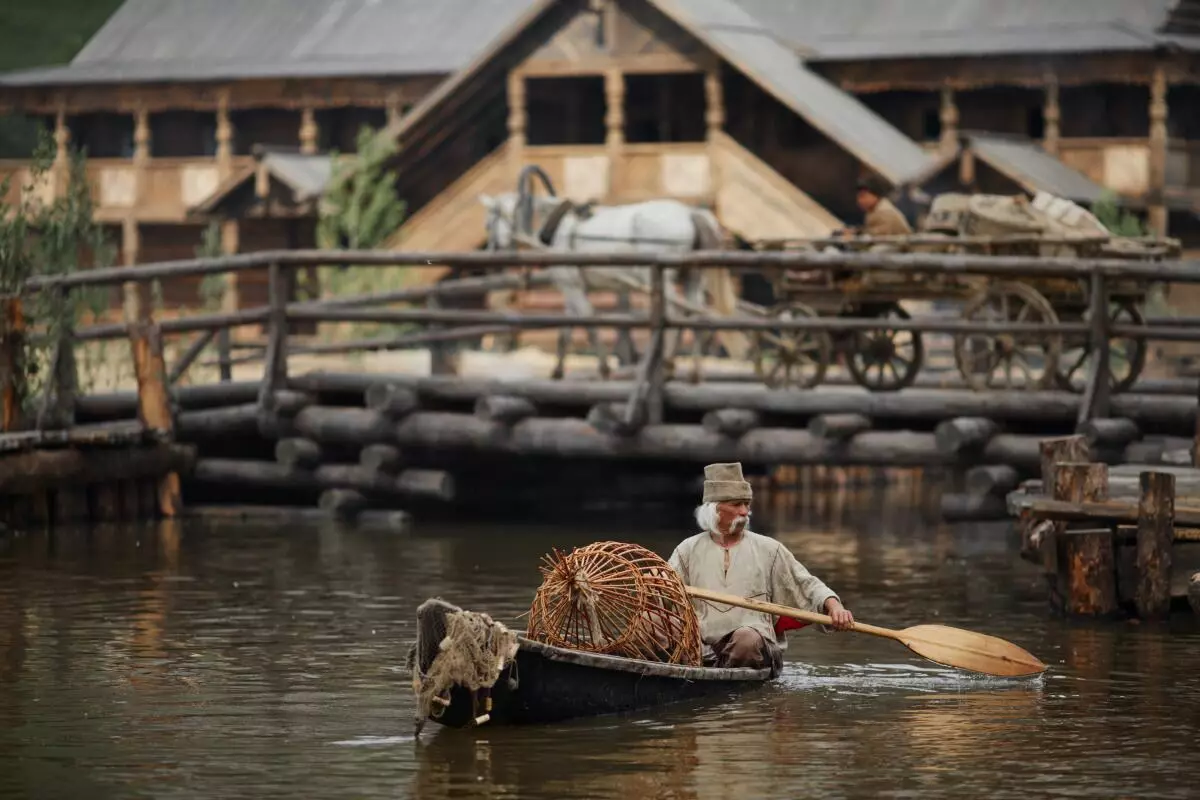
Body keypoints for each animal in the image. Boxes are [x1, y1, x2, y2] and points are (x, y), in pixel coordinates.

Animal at [480, 191, 739, 383]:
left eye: (492, 217)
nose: (493, 248)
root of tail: (690, 212)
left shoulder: (571, 285)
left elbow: (588, 320)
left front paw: (604, 369)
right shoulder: (571, 288)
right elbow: (566, 330)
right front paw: (557, 371)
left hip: (660, 278)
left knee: (673, 315)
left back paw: (666, 365)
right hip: (694, 277)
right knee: (694, 316)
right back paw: (694, 373)